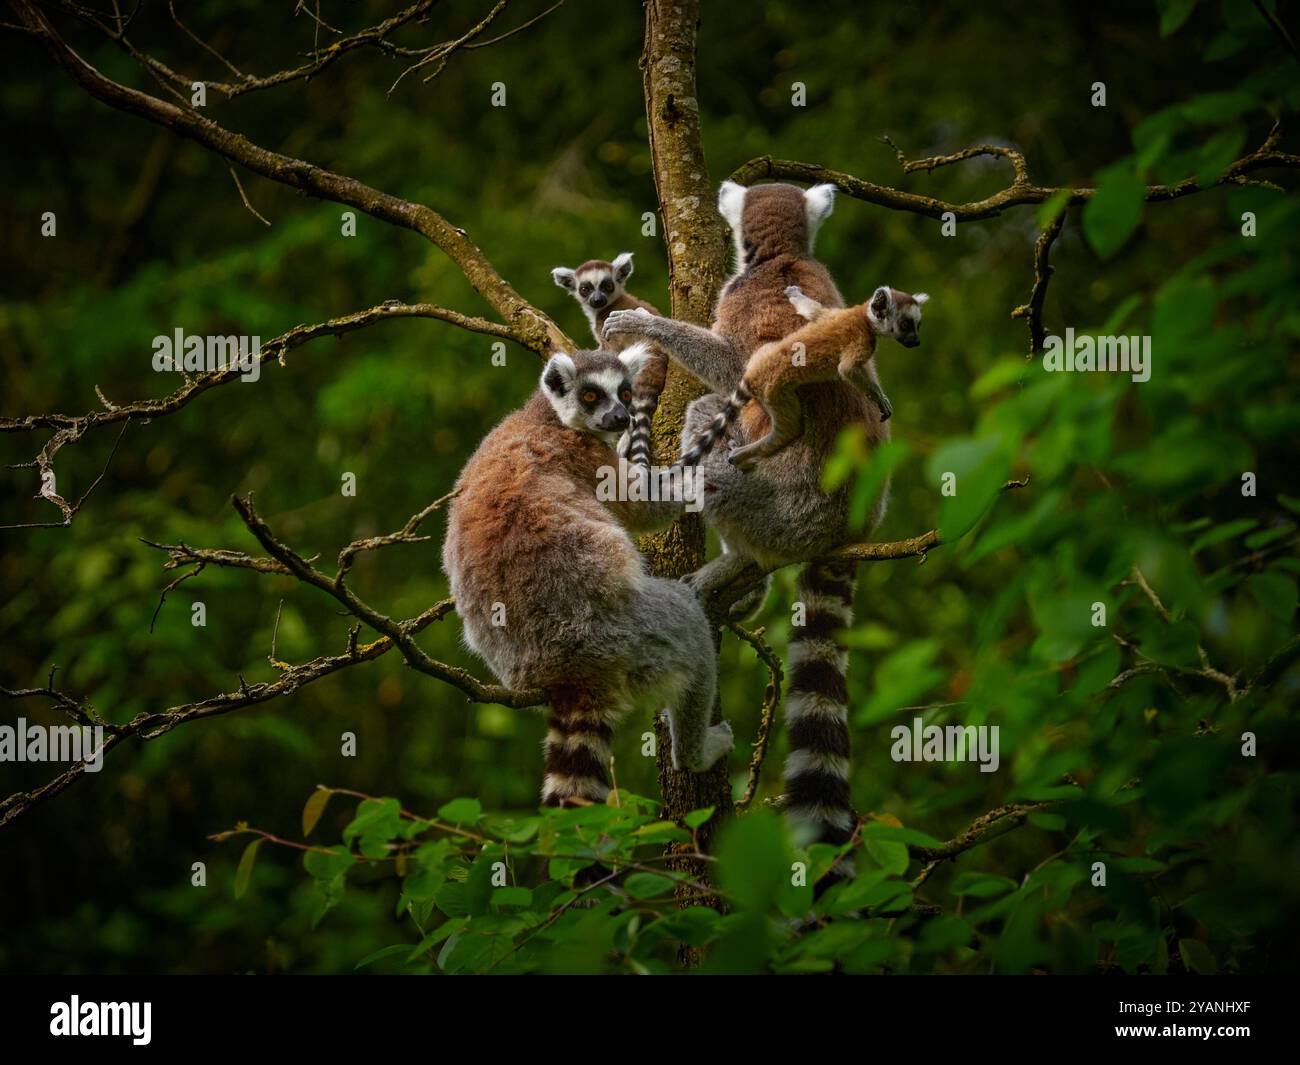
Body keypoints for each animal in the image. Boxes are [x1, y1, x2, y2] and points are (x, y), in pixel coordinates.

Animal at [442, 343, 733, 807]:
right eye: (592, 395)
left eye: (625, 393)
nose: (620, 418)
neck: (545, 415)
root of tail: (563, 670)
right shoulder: (588, 455)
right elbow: (644, 510)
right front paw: (694, 472)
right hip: (622, 634)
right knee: (688, 624)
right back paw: (695, 753)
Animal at [603, 181, 887, 857]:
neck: (782, 257)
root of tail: (849, 527)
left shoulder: (741, 311)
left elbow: (737, 373)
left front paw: (646, 324)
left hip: (777, 510)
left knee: (708, 434)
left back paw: (732, 570)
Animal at [677, 284, 929, 471]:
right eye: (906, 324)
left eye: (918, 325)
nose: (917, 341)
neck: (861, 316)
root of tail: (753, 376)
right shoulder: (861, 340)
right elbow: (847, 369)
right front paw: (877, 397)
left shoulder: (832, 313)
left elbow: (812, 311)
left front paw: (794, 295)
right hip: (775, 393)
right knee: (789, 430)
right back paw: (743, 455)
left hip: (760, 354)